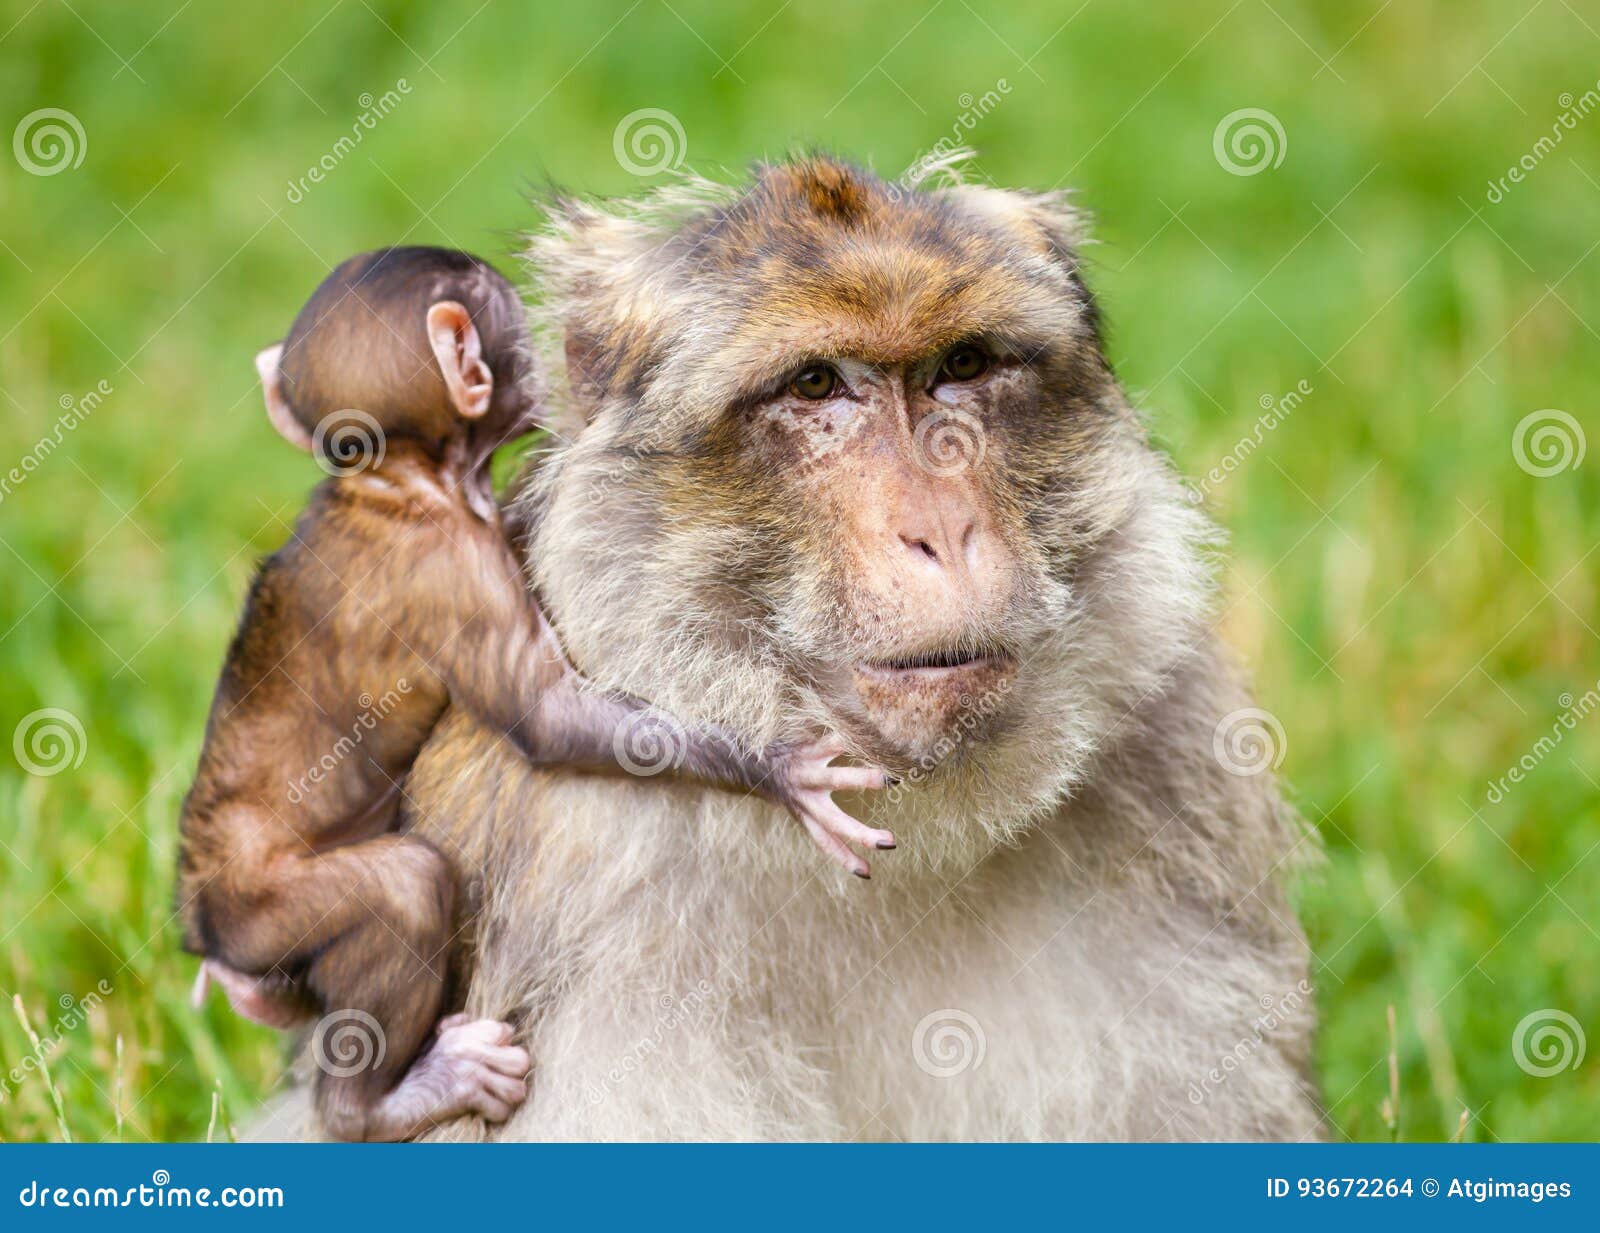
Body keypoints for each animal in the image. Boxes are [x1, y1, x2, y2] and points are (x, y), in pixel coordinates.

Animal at [179, 245, 896, 1144]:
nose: (558, 353)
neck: (394, 480)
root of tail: (207, 928)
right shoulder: (460, 571)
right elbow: (549, 721)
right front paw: (783, 771)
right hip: (265, 908)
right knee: (405, 888)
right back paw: (376, 1103)